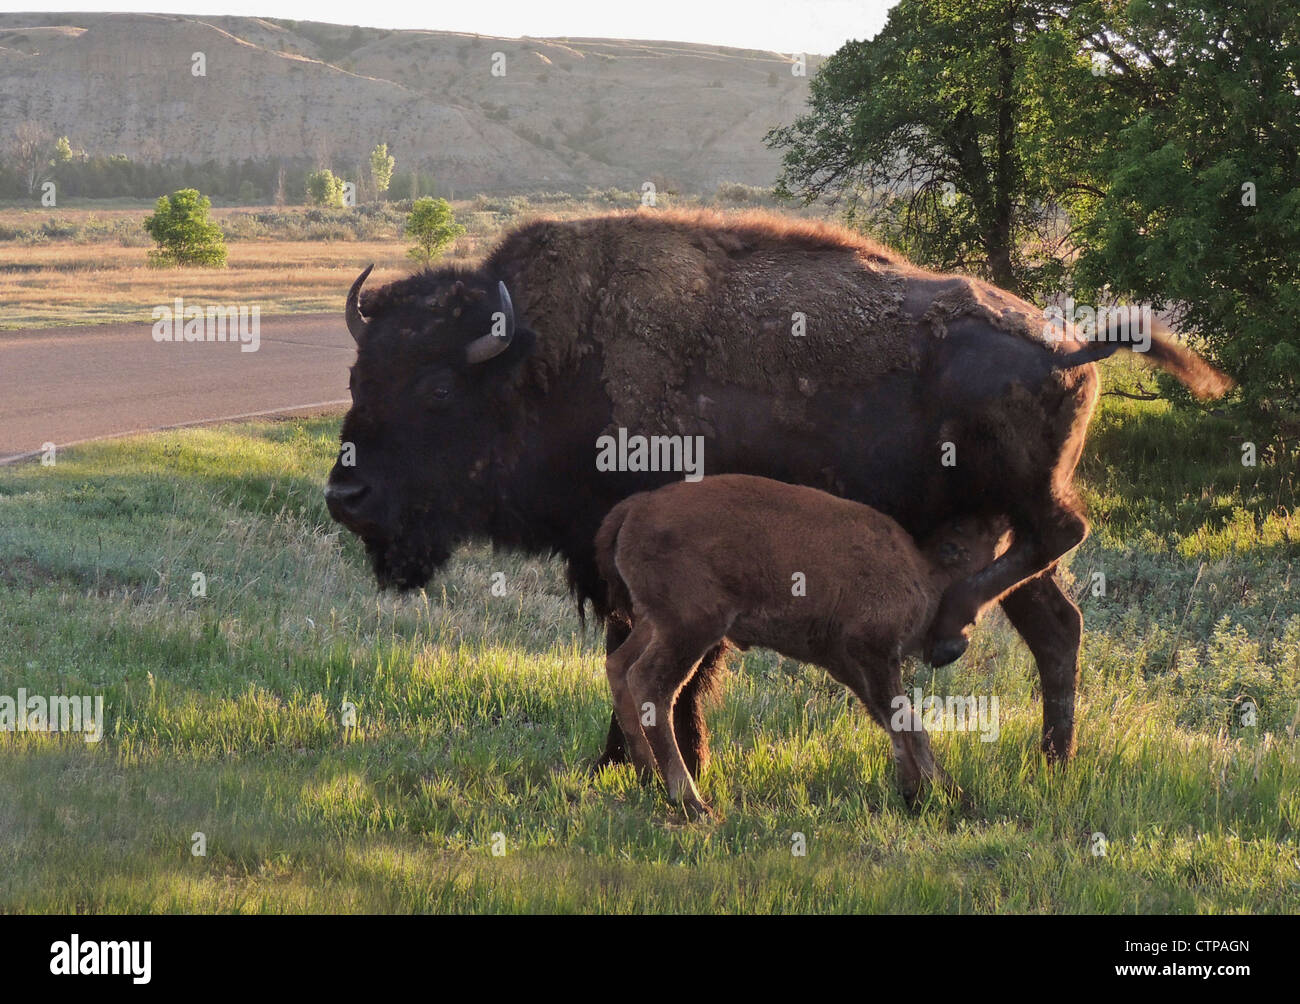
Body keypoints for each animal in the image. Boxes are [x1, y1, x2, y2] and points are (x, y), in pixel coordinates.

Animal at [324, 208, 1231, 777]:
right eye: (359, 375)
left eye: (439, 388)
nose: (346, 496)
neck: (546, 358)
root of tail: (1066, 346)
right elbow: (639, 661)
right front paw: (624, 767)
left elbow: (671, 670)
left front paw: (650, 765)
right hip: (997, 514)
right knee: (1055, 622)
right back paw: (1049, 761)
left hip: (1021, 494)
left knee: (1060, 541)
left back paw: (956, 637)